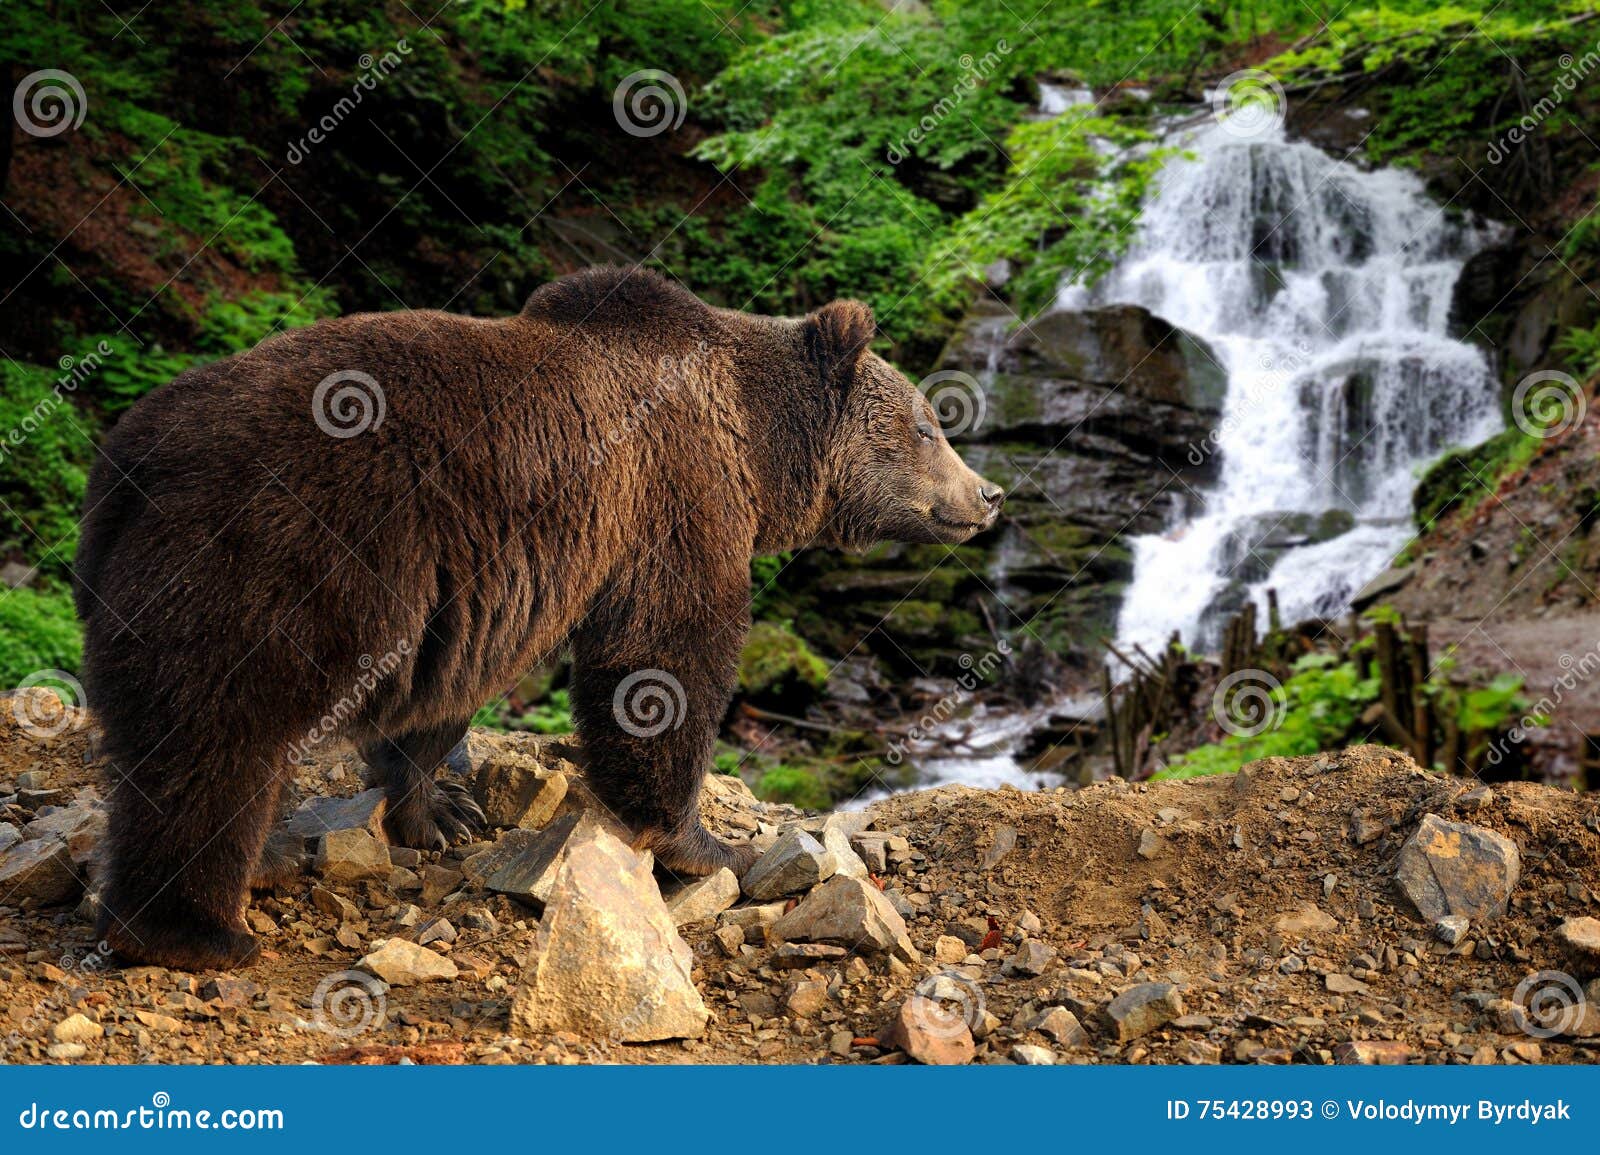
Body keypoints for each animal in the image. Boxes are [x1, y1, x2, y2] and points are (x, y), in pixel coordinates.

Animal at [73, 265, 1004, 971]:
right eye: (928, 422)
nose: (988, 493)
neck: (756, 442)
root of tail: (130, 460)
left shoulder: (484, 581)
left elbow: (448, 692)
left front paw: (440, 809)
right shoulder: (671, 499)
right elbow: (665, 658)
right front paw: (707, 844)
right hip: (276, 555)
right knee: (218, 737)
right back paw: (196, 928)